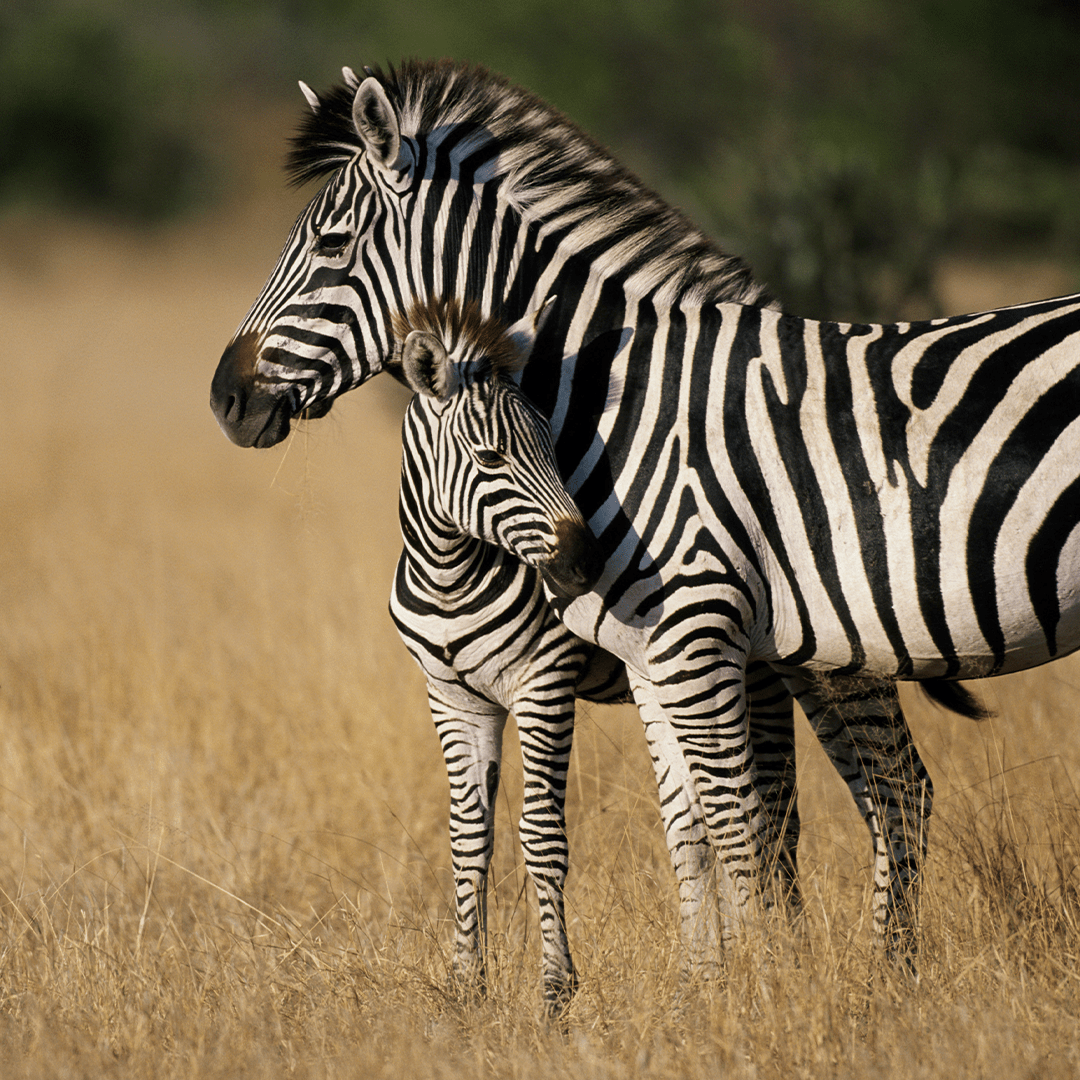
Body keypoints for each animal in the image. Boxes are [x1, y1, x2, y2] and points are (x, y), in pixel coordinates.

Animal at [210, 60, 949, 964]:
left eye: (331, 245)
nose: (226, 397)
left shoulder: (551, 674)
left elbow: (545, 832)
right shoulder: (464, 688)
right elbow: (476, 838)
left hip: (835, 651)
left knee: (892, 790)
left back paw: (881, 969)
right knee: (801, 806)